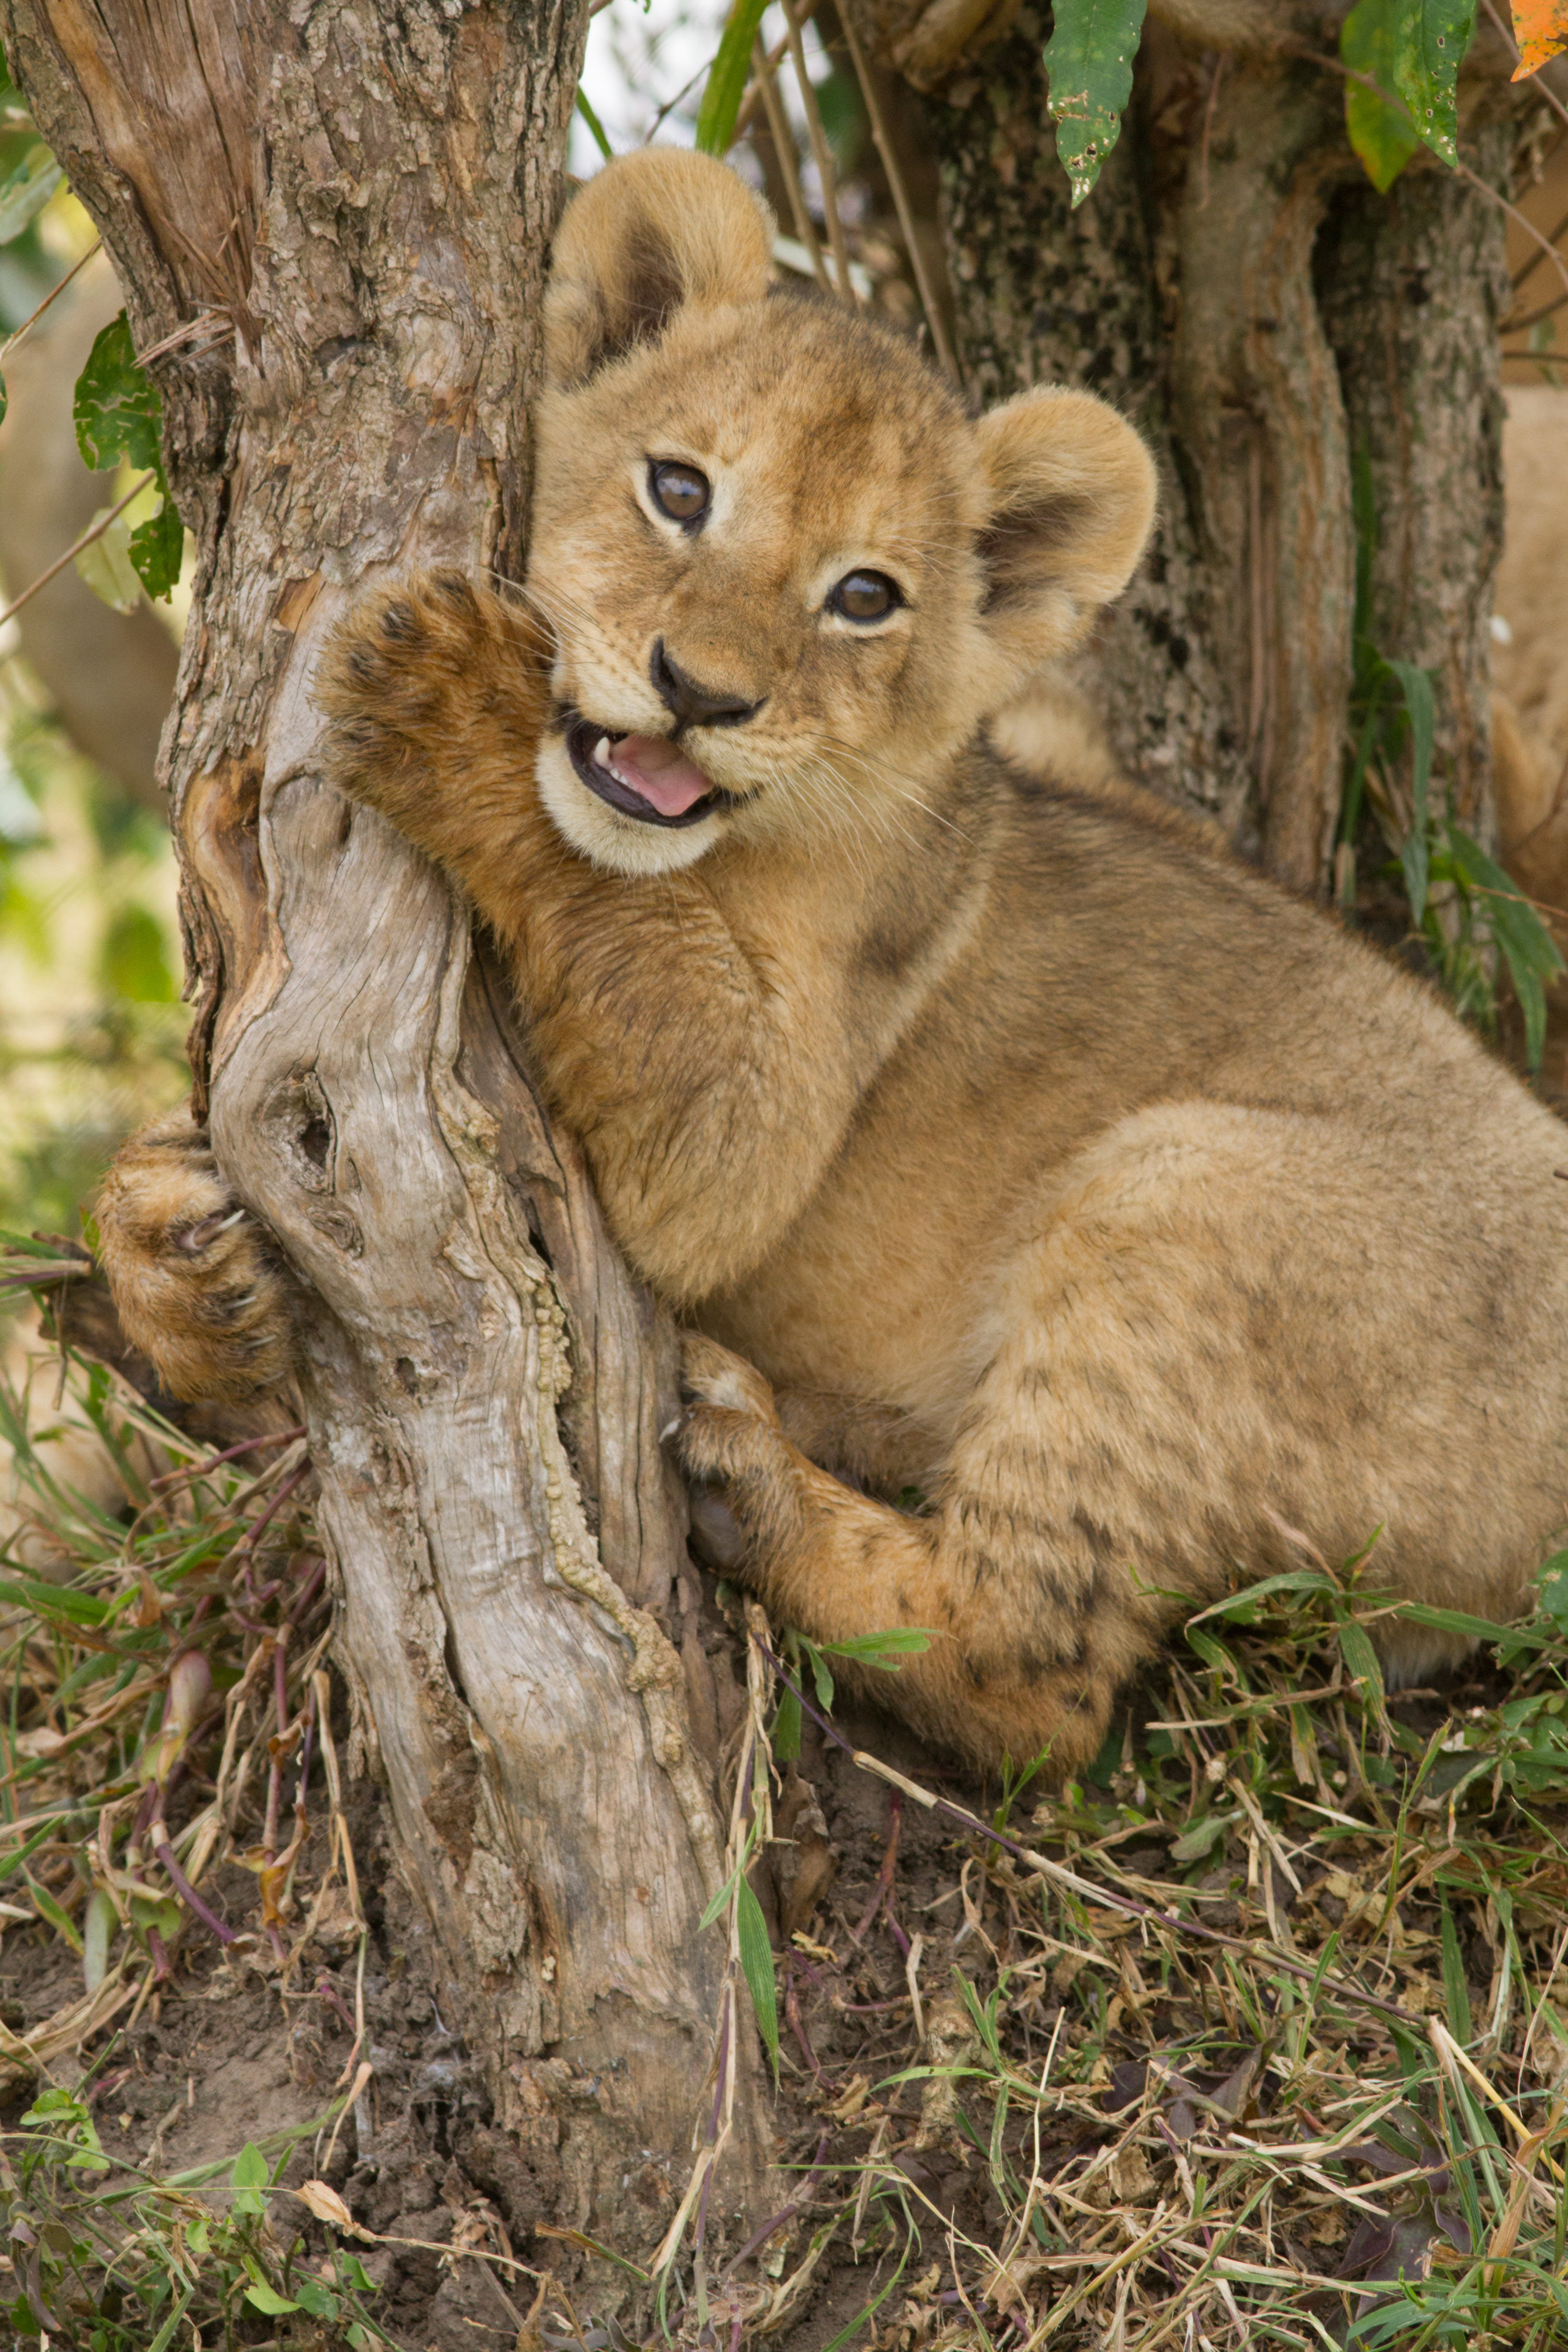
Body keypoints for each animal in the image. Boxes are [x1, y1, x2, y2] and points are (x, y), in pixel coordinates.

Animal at [96, 147, 1568, 1774]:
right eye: (679, 490)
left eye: (865, 595)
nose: (699, 693)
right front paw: (174, 1252)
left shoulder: (750, 1136)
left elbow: (655, 1011)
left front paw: (446, 685)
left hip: (1189, 1190)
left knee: (1034, 1679)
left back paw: (747, 1470)